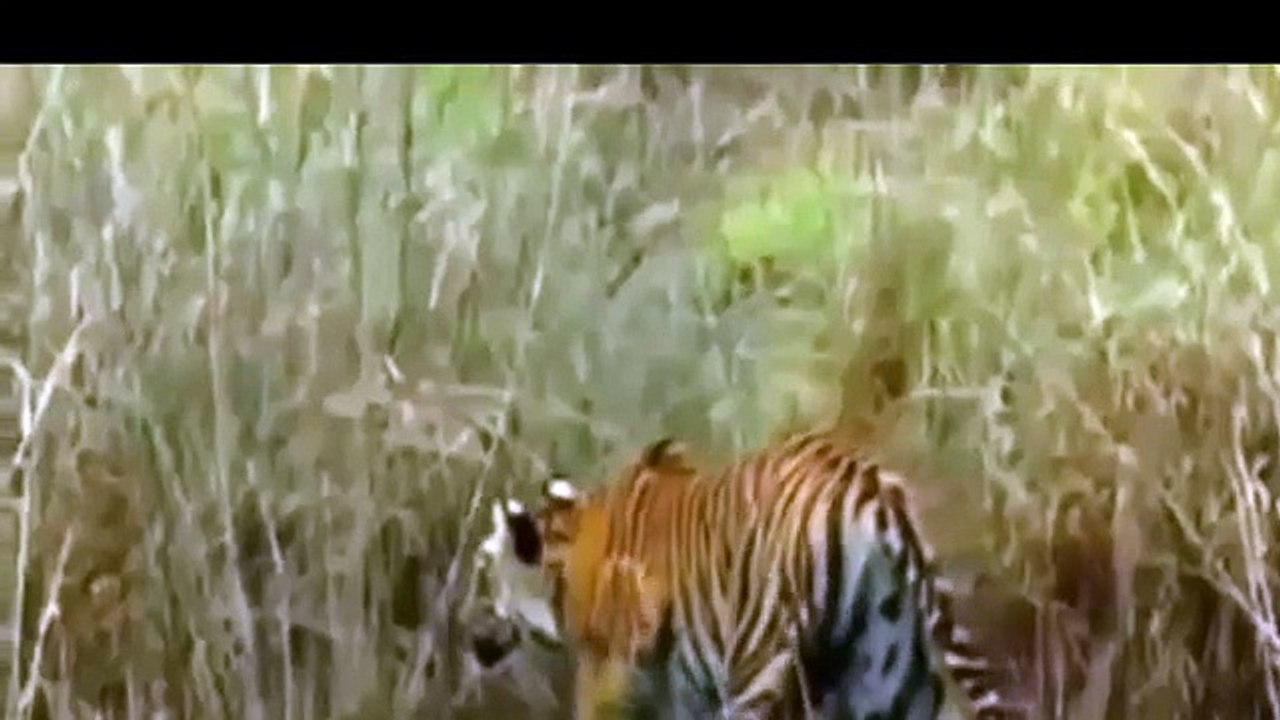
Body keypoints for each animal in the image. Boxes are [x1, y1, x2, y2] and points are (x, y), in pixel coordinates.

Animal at [470, 427, 1026, 719]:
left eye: (483, 573)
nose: (469, 634)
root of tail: (868, 486)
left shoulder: (612, 667)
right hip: (887, 681)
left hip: (756, 663)